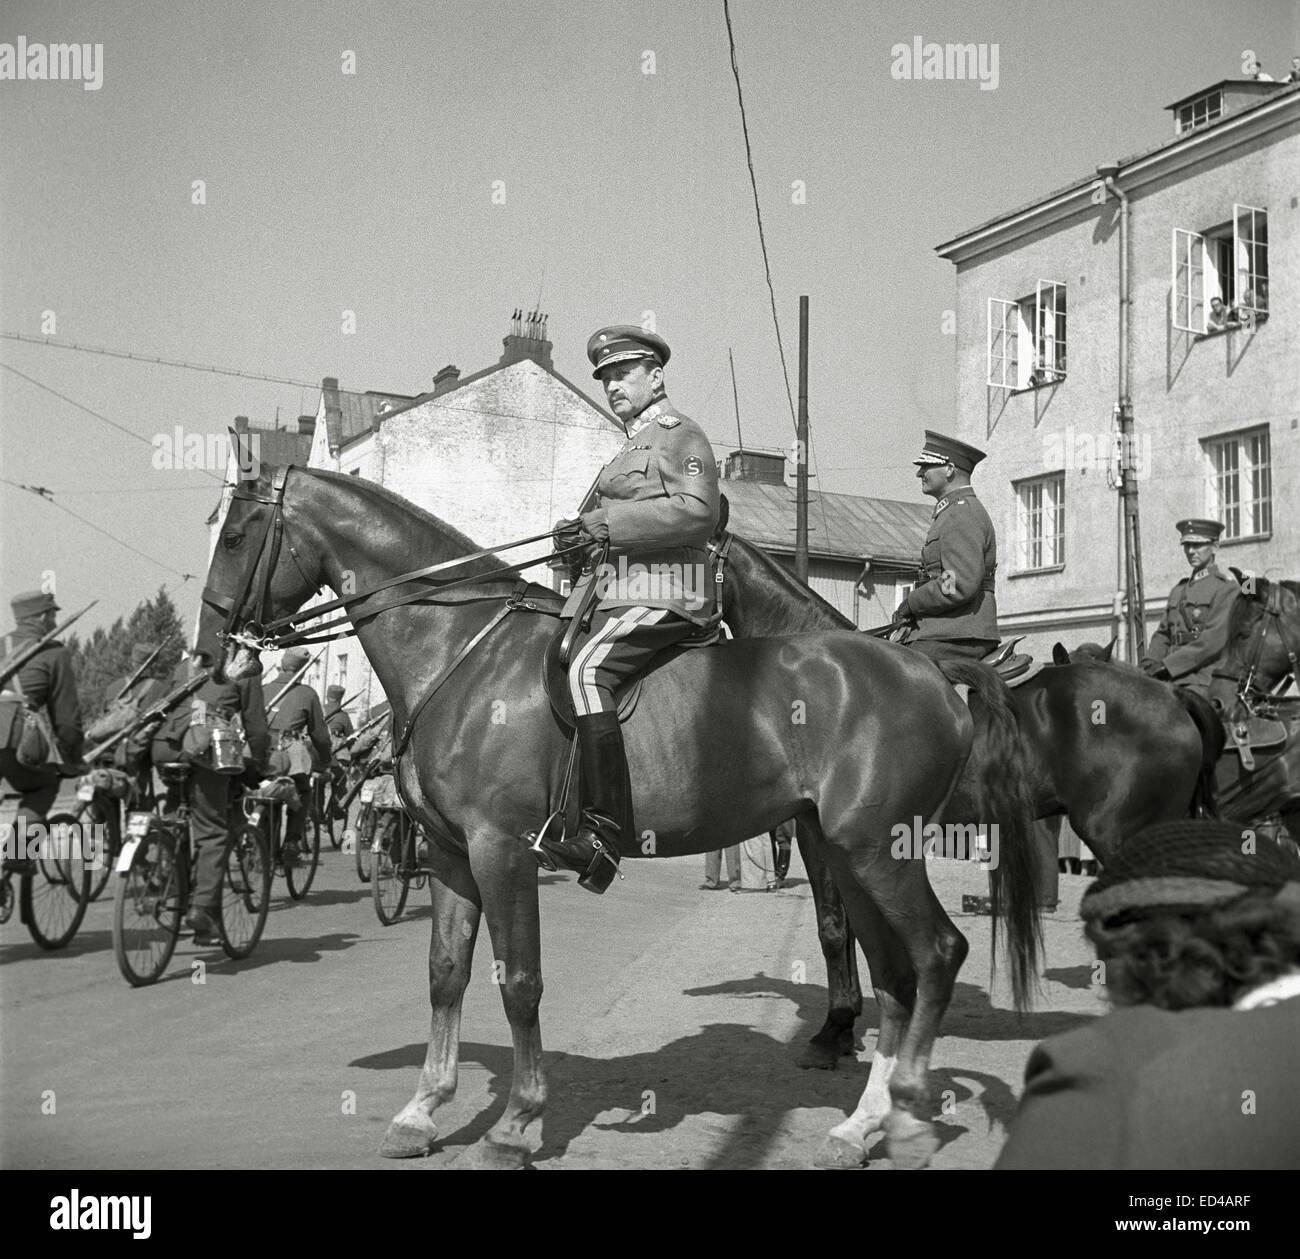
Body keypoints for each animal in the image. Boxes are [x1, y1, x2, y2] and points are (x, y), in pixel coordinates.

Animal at [197, 468, 1040, 1175]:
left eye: (236, 536)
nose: (210, 655)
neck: (462, 651)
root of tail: (927, 668)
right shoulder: (448, 854)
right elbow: (444, 974)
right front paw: (422, 1108)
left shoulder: (501, 850)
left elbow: (520, 982)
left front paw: (515, 1124)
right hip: (844, 851)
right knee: (894, 974)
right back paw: (857, 1127)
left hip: (877, 851)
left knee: (936, 953)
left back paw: (905, 1116)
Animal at [722, 525, 1216, 1066]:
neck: (817, 675)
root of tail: (1170, 694)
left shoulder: (818, 834)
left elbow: (833, 927)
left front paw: (834, 1029)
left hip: (1120, 835)